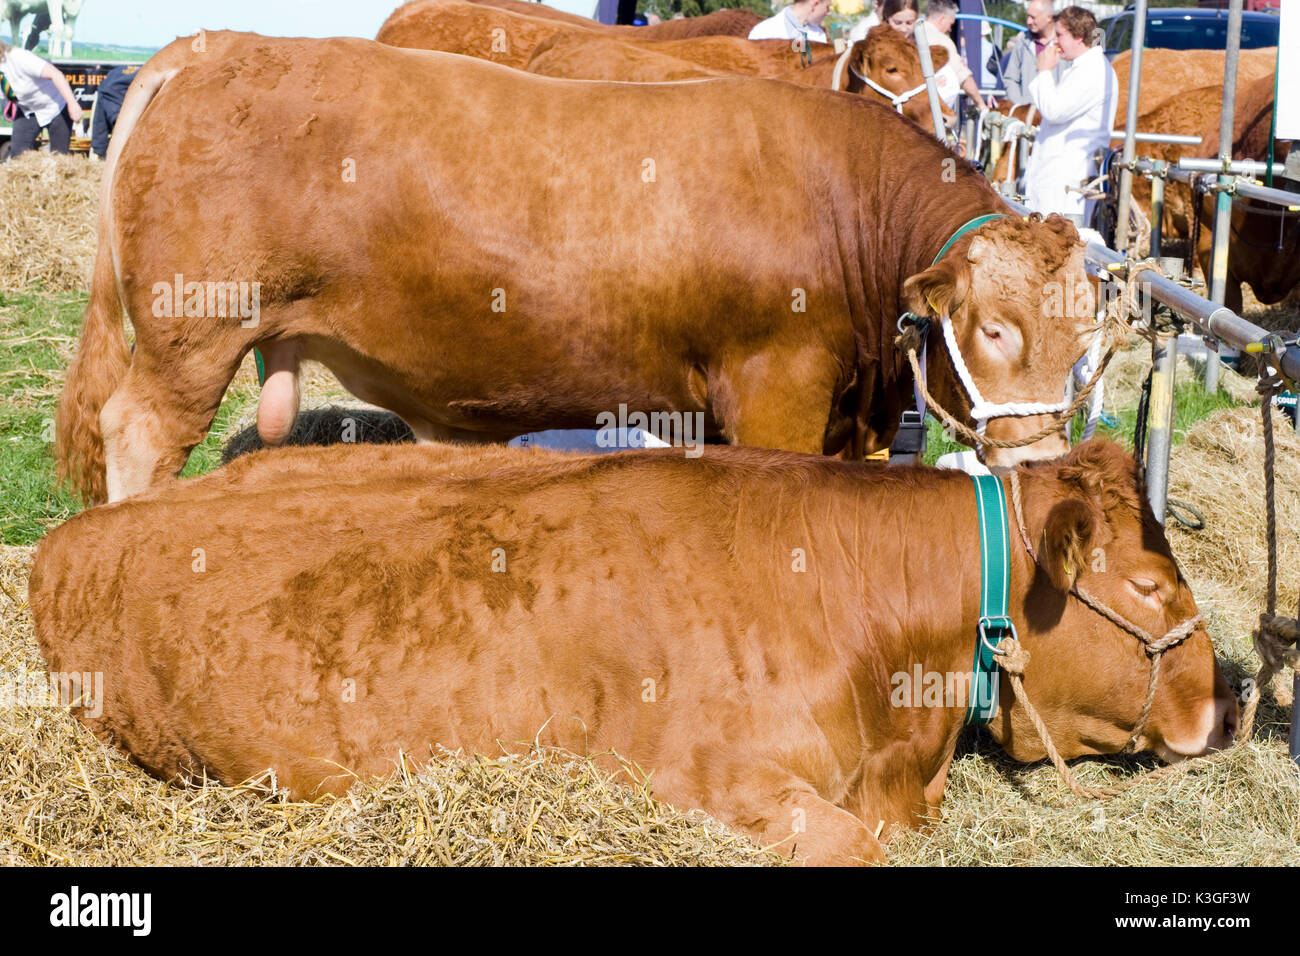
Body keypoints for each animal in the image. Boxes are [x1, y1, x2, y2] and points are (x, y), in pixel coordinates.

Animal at [56, 32, 1102, 507]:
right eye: (995, 327)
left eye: (1086, 336)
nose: (1045, 462)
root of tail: (212, 46)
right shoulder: (780, 386)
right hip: (192, 336)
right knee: (137, 431)